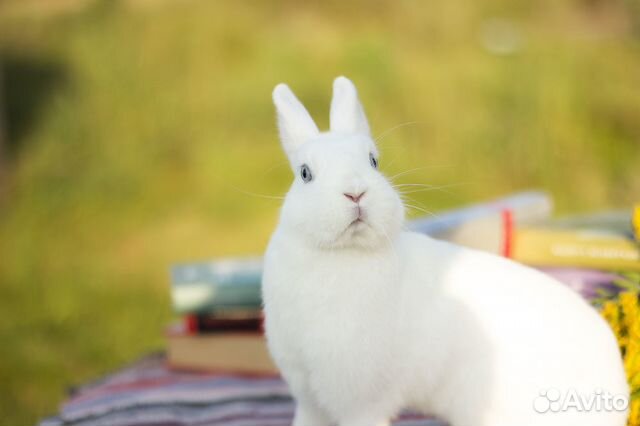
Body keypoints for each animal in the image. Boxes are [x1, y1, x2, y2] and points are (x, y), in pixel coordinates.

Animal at [261, 76, 629, 426]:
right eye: (305, 173)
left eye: (373, 161)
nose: (355, 193)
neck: (338, 253)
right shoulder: (308, 394)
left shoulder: (362, 400)